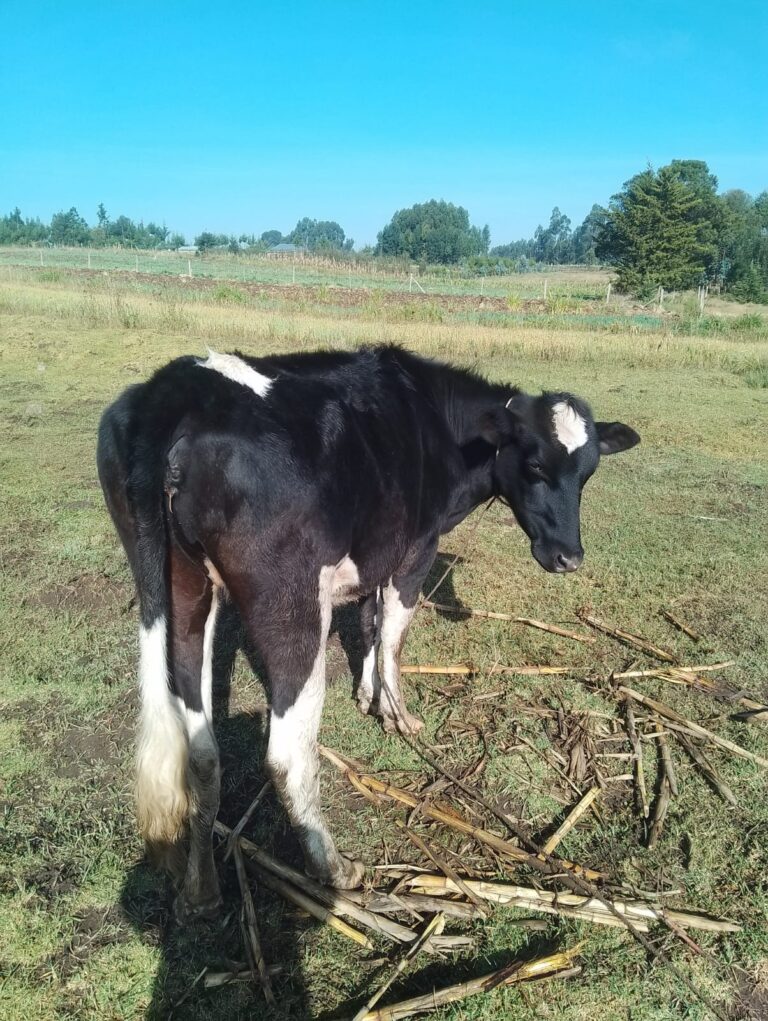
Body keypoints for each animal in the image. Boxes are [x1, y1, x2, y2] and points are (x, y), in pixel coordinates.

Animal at [97, 344, 639, 920]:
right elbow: (394, 633)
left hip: (179, 590)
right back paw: (335, 869)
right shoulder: (416, 549)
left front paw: (367, 696)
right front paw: (397, 714)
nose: (568, 557)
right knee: (287, 751)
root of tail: (174, 389)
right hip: (291, 605)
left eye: (588, 473)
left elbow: (370, 622)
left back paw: (200, 888)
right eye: (535, 464)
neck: (436, 417)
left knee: (199, 750)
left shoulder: (377, 552)